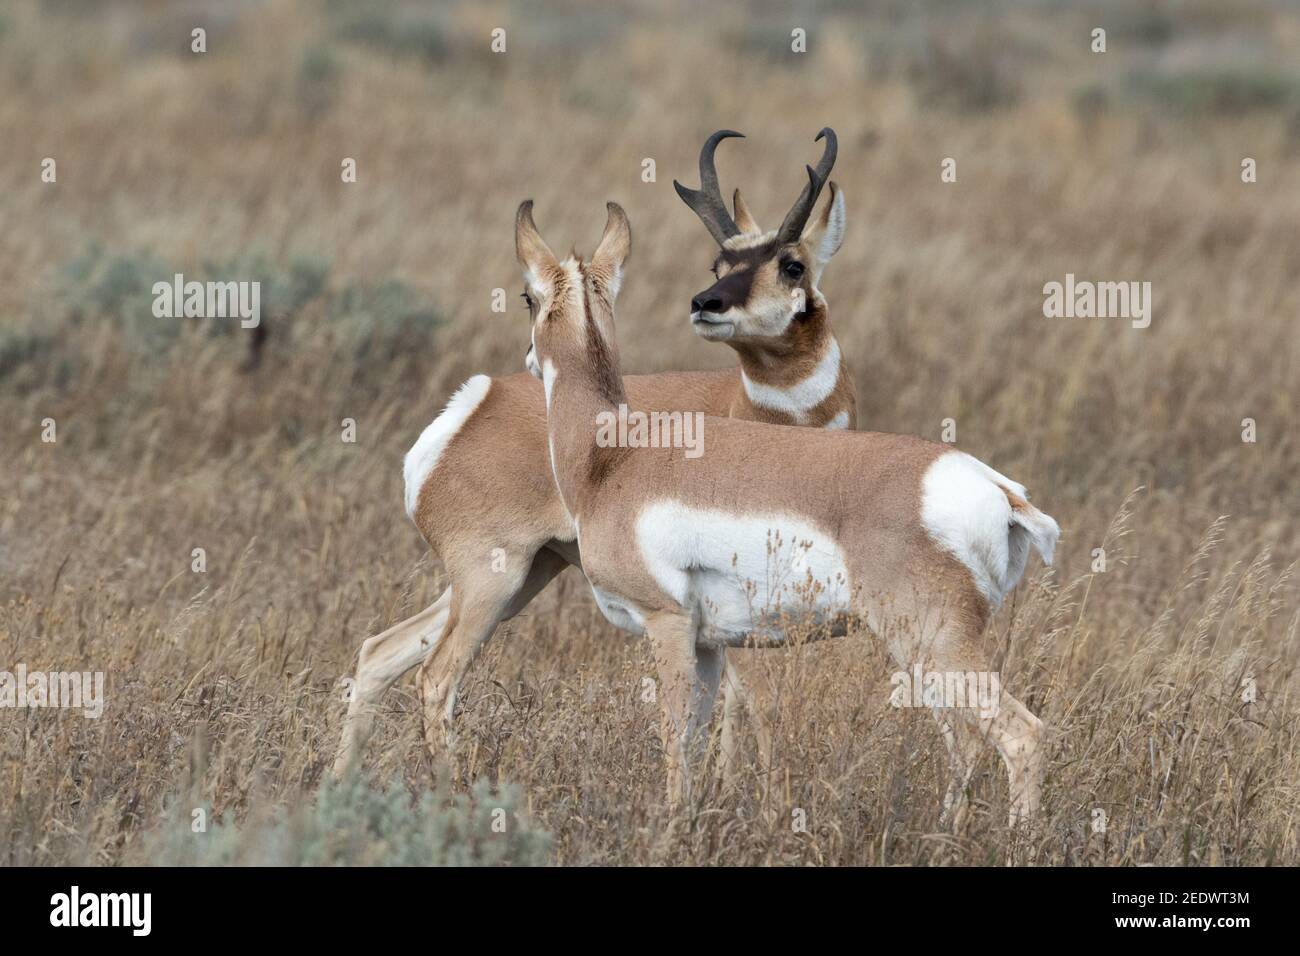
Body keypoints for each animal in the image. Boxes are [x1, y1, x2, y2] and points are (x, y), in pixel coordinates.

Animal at [333, 130, 858, 776]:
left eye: (793, 264)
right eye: (719, 264)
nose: (707, 303)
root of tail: (478, 400)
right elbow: (740, 702)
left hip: (520, 579)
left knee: (380, 652)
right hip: (491, 582)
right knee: (434, 676)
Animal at [514, 197, 1060, 826]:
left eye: (527, 296)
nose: (527, 358)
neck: (614, 455)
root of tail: (995, 487)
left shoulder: (666, 623)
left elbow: (674, 737)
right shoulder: (710, 644)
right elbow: (697, 739)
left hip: (934, 645)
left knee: (1021, 735)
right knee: (966, 741)